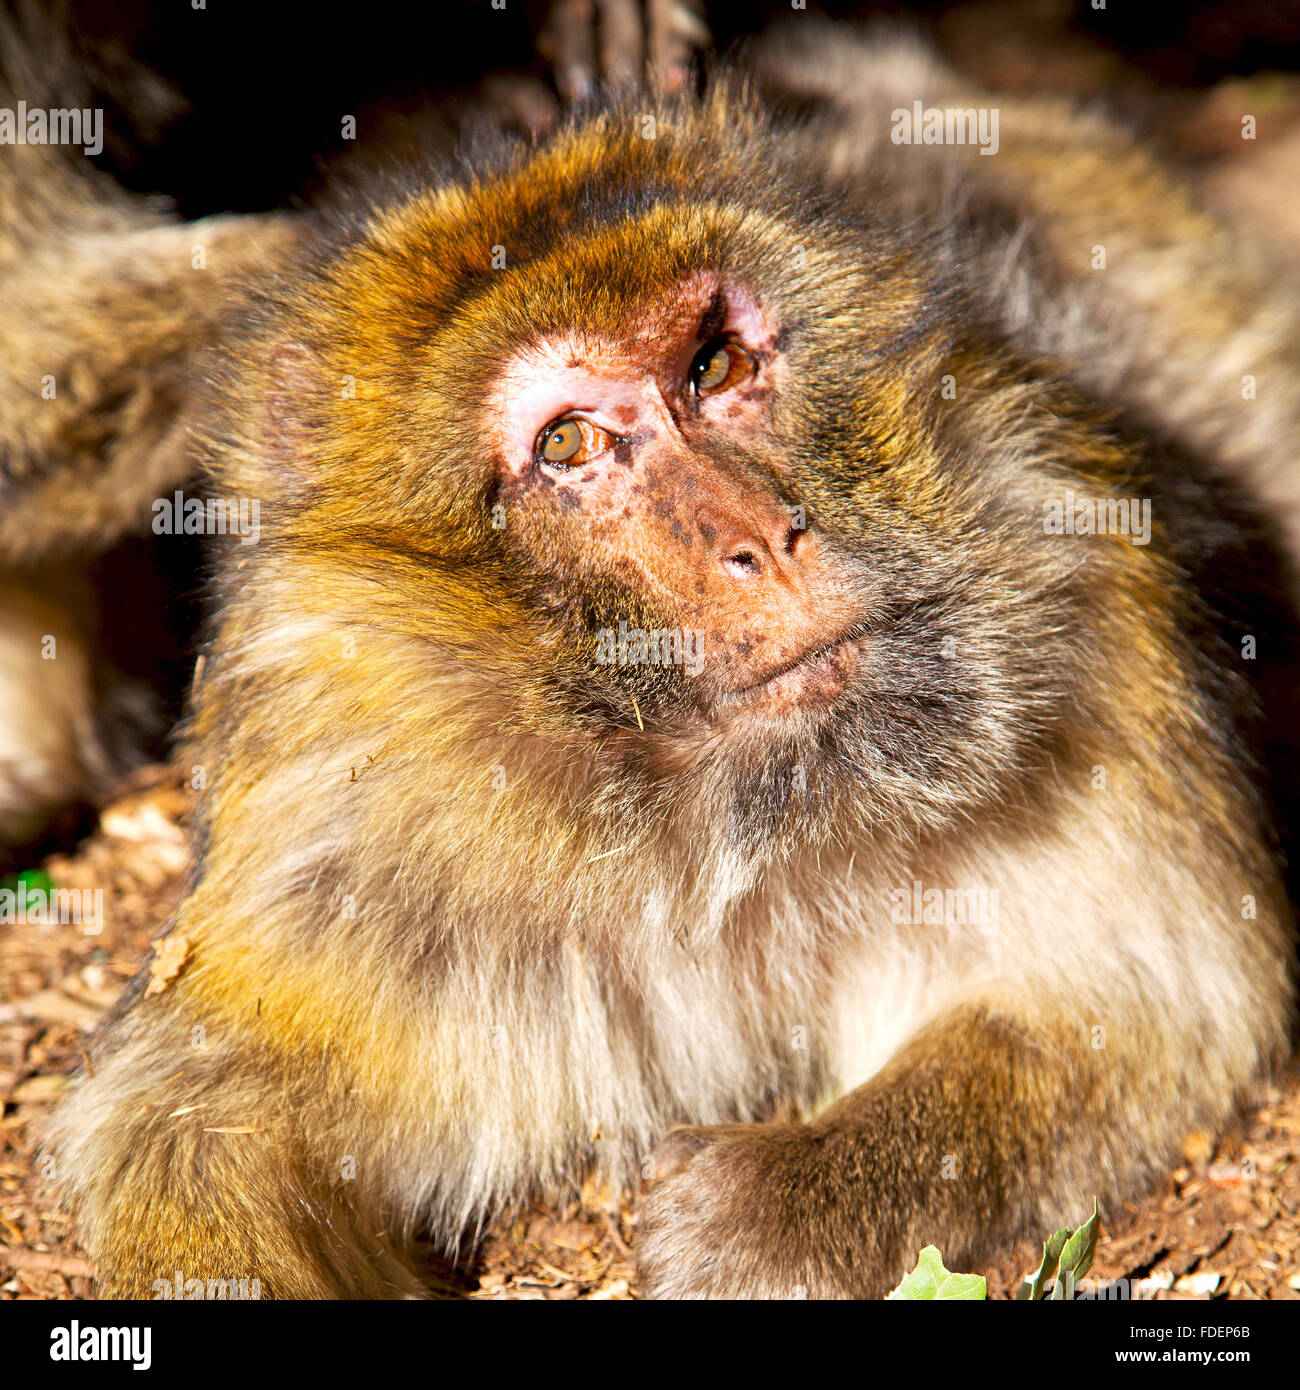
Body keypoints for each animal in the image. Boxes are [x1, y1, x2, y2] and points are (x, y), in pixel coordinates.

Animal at [6, 10, 1296, 1298]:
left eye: (713, 366)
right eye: (570, 444)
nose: (761, 542)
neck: (708, 820)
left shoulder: (1088, 609)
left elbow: (1149, 1003)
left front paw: (775, 1202)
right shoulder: (348, 839)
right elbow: (198, 1121)